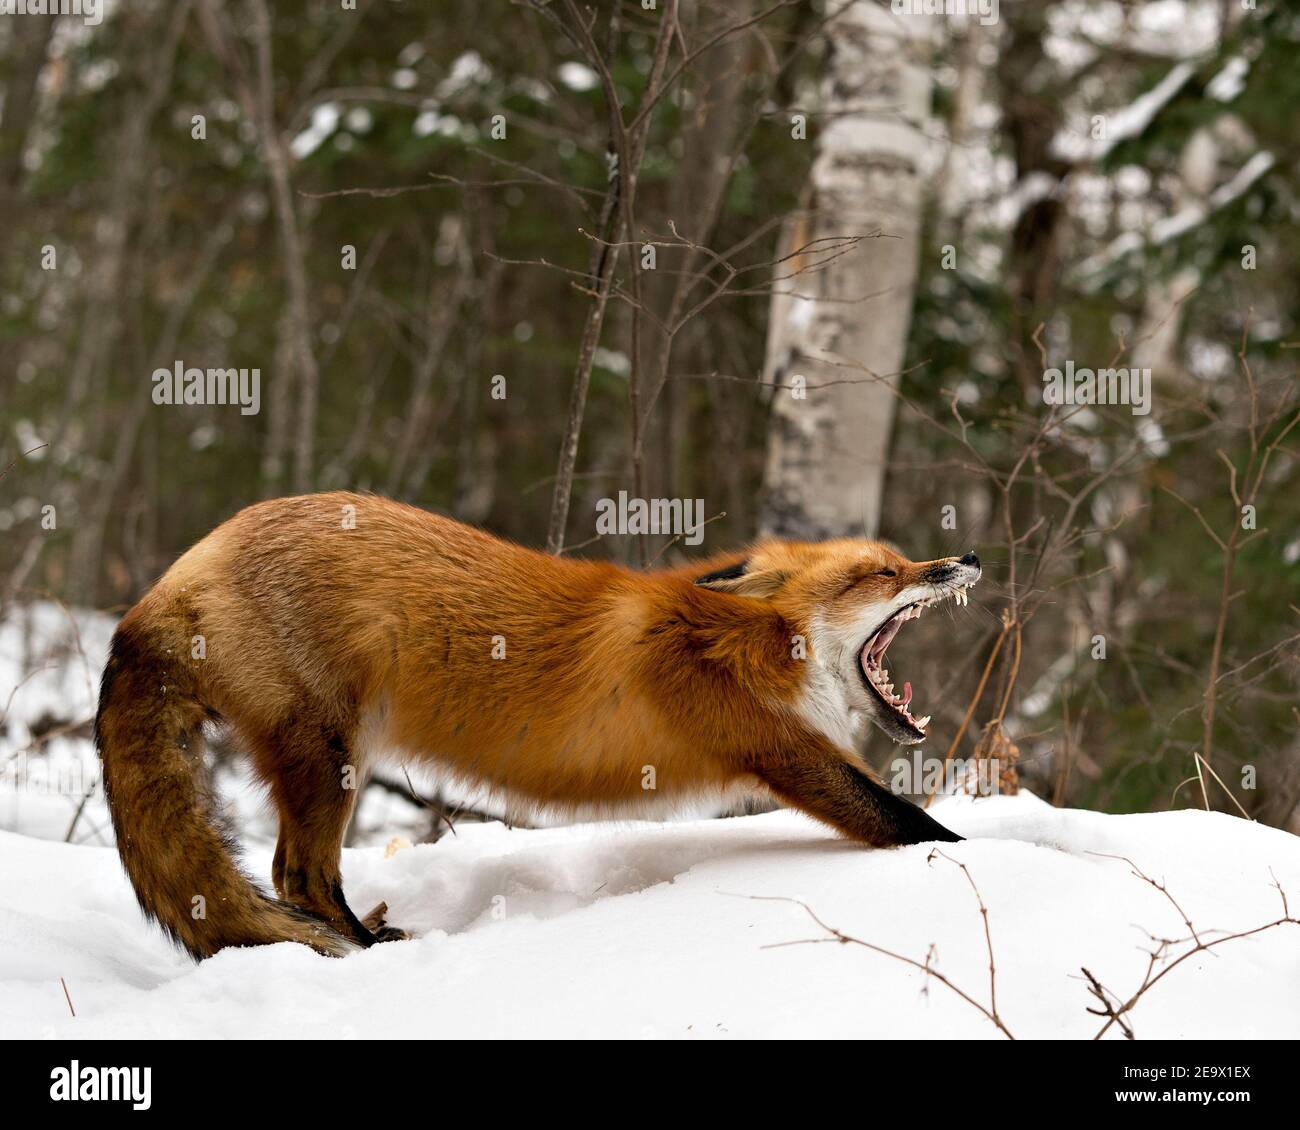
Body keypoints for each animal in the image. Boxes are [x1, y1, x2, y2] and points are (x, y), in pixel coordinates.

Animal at [95, 491, 981, 959]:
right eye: (884, 573)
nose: (966, 558)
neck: (740, 645)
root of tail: (175, 575)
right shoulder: (781, 750)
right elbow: (911, 823)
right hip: (330, 758)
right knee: (299, 878)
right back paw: (374, 950)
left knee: (291, 876)